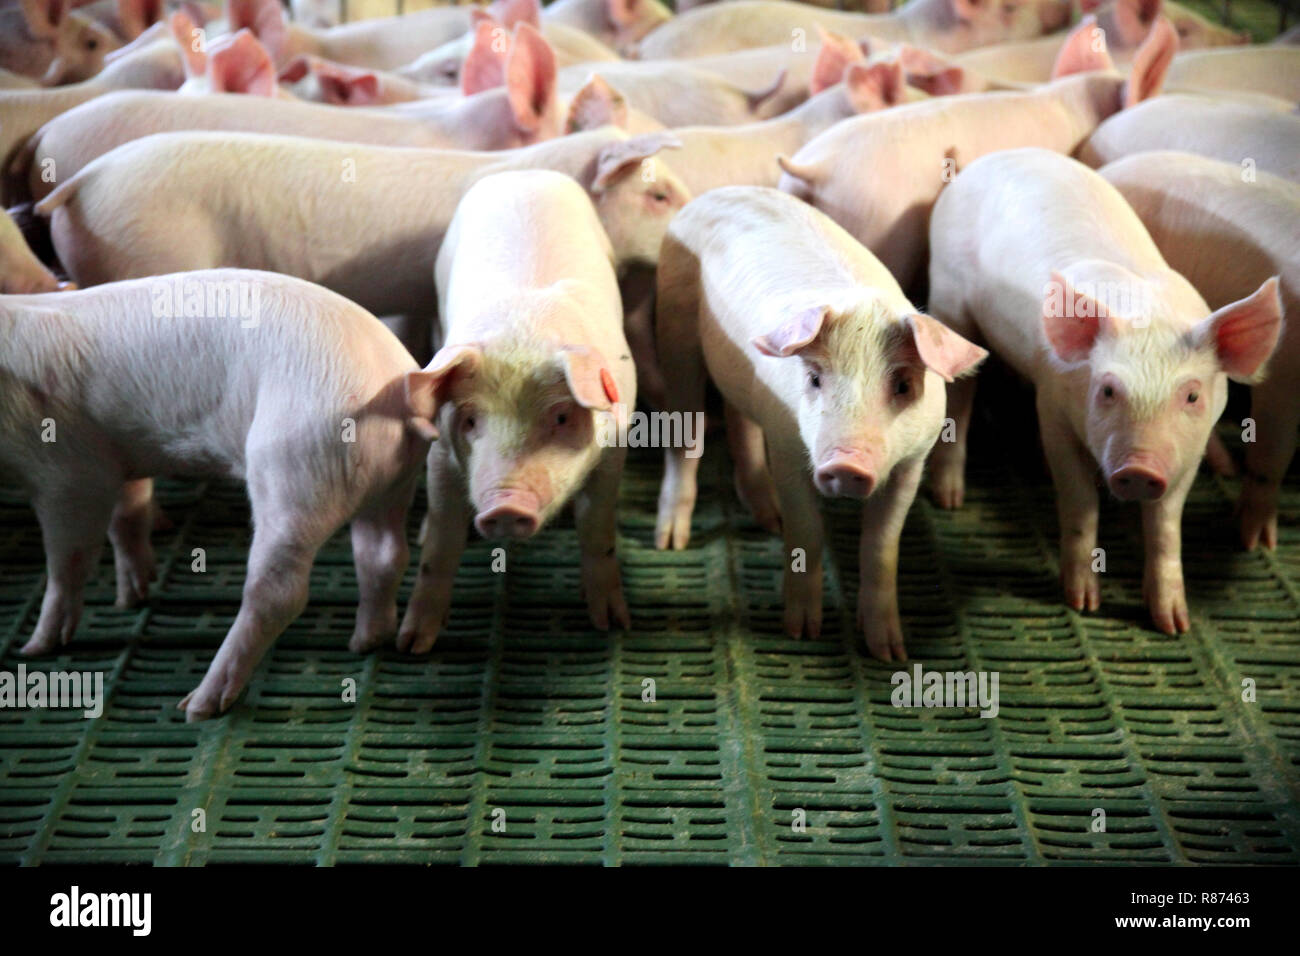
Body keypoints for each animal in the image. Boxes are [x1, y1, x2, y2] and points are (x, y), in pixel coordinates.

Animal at [0, 269, 439, 719]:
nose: (130, 598)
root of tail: (397, 391)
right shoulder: (120, 457)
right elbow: (128, 515)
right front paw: (130, 598)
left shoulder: (67, 469)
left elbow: (67, 561)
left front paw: (36, 647)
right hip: (391, 484)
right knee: (384, 554)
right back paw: (365, 641)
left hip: (292, 470)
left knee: (279, 593)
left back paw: (197, 705)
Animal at [399, 170, 636, 650]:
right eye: (471, 419)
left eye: (561, 417)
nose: (505, 506)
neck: (523, 332)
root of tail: (525, 174)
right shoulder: (442, 454)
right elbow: (442, 543)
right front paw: (411, 645)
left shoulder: (613, 451)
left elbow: (597, 528)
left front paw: (611, 624)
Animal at [654, 186, 987, 658]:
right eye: (814, 378)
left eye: (903, 385)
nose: (846, 464)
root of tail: (720, 192)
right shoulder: (788, 447)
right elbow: (807, 531)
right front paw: (801, 633)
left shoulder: (912, 462)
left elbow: (882, 548)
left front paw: (889, 651)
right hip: (674, 320)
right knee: (685, 434)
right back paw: (671, 542)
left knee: (739, 418)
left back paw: (768, 518)